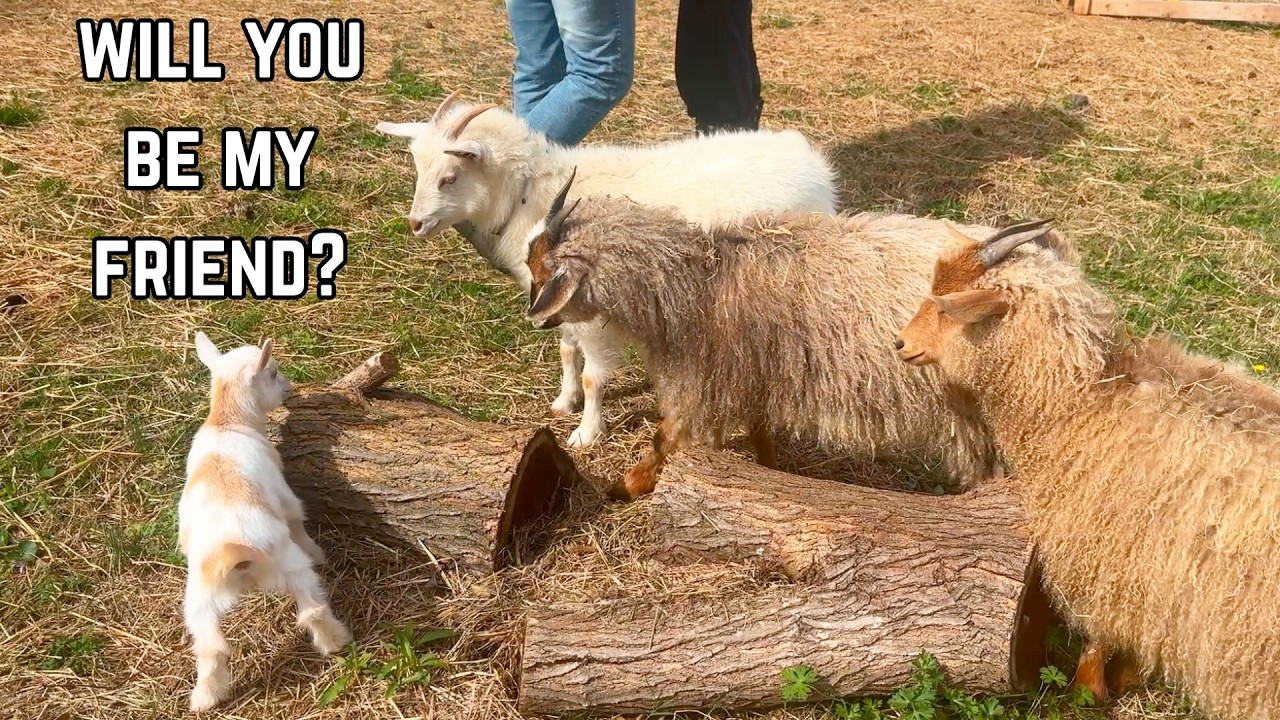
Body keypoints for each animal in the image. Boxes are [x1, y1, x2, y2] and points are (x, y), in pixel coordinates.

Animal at [179, 332, 352, 711]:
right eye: (272, 372)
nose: (289, 386)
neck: (227, 422)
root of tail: (234, 550)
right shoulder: (285, 495)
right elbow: (298, 518)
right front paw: (318, 552)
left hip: (200, 599)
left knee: (211, 649)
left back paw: (205, 698)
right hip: (290, 566)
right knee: (313, 610)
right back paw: (337, 641)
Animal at [376, 90, 838, 447]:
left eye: (451, 176)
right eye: (419, 169)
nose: (415, 223)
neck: (535, 195)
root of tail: (811, 162)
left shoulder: (595, 311)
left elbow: (593, 377)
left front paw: (586, 434)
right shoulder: (557, 298)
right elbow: (566, 351)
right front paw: (563, 403)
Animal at [516, 173, 1070, 500]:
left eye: (542, 268)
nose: (537, 319)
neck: (700, 282)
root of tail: (1047, 257)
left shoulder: (707, 385)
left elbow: (664, 438)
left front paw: (623, 486)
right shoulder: (753, 375)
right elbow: (762, 435)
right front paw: (772, 474)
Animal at [893, 222, 1280, 719]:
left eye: (946, 307)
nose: (901, 343)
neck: (1080, 402)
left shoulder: (1103, 544)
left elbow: (1100, 630)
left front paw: (1088, 689)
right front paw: (1131, 675)